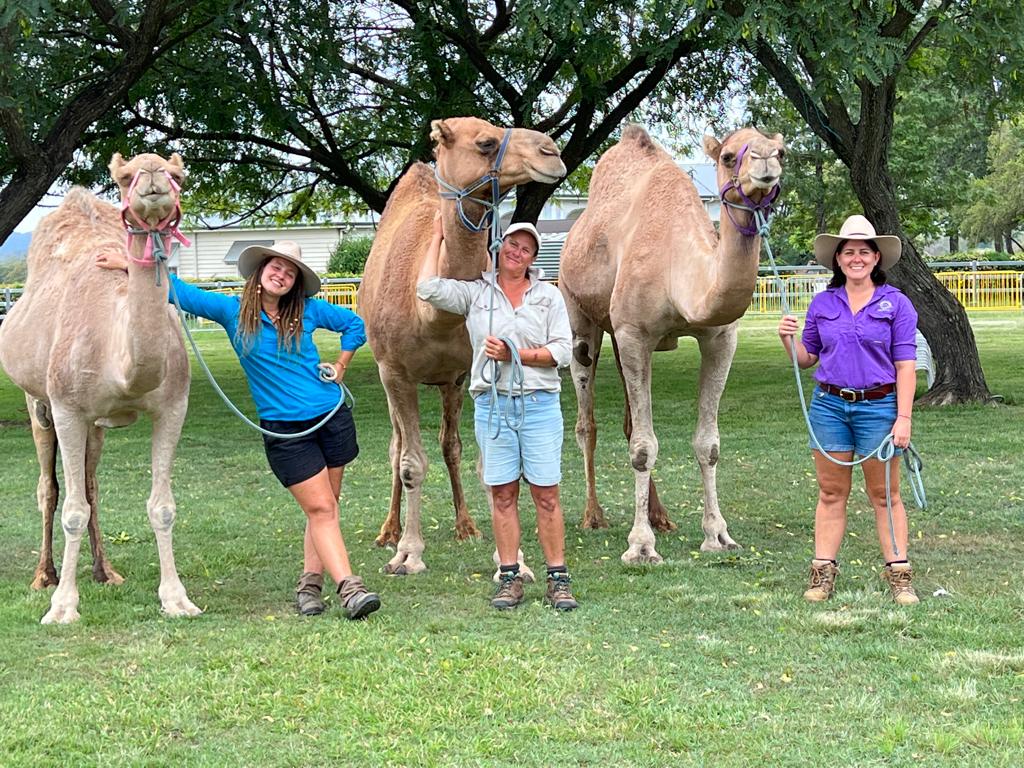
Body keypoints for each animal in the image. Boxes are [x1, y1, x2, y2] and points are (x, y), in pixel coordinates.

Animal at [0, 152, 198, 623]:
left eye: (177, 174)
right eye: (124, 177)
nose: (152, 177)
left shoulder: (173, 405)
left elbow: (162, 507)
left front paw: (177, 599)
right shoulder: (67, 407)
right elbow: (71, 509)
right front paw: (62, 607)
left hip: (96, 424)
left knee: (90, 484)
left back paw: (105, 571)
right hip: (37, 400)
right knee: (49, 487)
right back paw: (44, 576)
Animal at [359, 116, 566, 575]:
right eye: (486, 142)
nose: (553, 152)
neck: (433, 315)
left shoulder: (473, 370)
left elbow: (487, 461)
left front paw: (513, 558)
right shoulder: (394, 373)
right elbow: (410, 464)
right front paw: (408, 554)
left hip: (450, 383)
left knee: (449, 445)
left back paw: (466, 525)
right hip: (387, 376)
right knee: (396, 448)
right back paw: (388, 531)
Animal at [558, 125, 784, 564]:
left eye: (782, 151)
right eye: (728, 156)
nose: (766, 159)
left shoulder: (720, 337)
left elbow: (708, 443)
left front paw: (717, 535)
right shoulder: (633, 333)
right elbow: (644, 447)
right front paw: (640, 546)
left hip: (618, 337)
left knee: (629, 420)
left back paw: (661, 516)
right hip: (579, 315)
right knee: (585, 415)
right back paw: (593, 516)